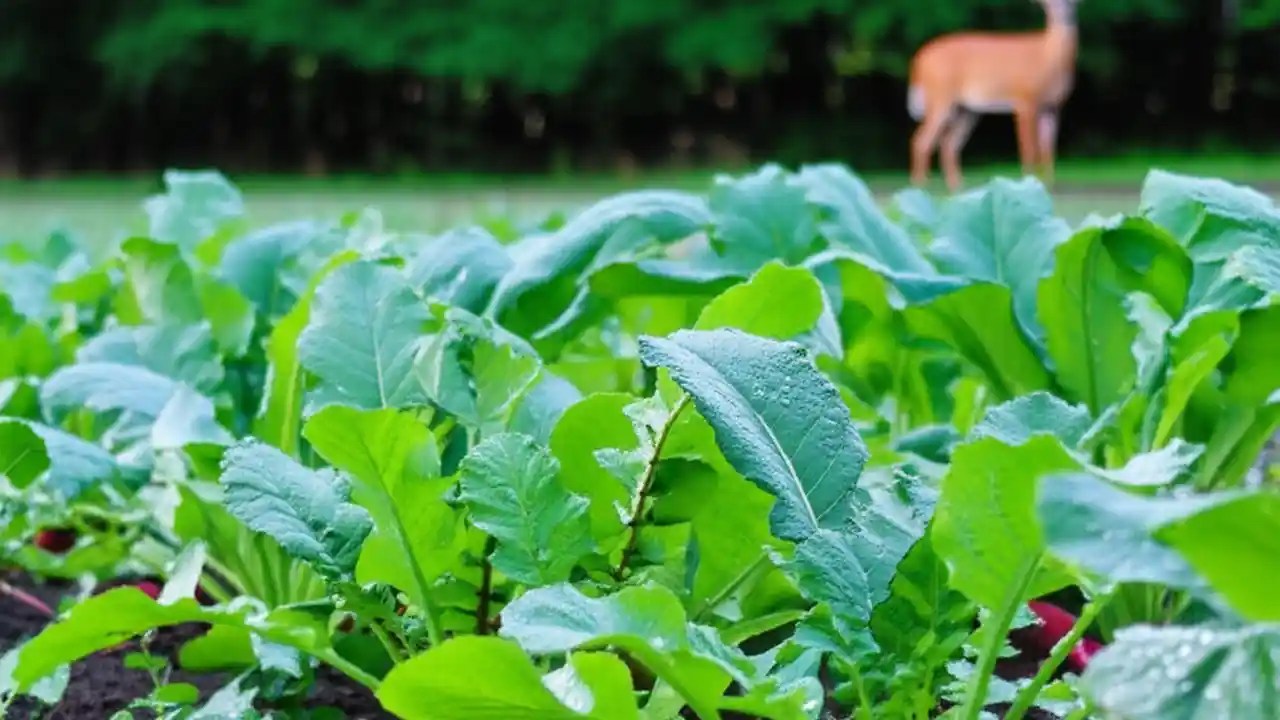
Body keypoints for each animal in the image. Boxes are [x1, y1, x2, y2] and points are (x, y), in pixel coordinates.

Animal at [907, 0, 1080, 192]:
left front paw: (1047, 186)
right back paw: (920, 186)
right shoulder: (1025, 99)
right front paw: (1027, 182)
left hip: (966, 110)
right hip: (940, 97)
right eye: (1050, 6)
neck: (1048, 58)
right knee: (921, 141)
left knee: (948, 144)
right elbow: (1029, 148)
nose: (1065, 15)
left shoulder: (1052, 107)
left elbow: (1048, 149)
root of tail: (919, 61)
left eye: (1073, 2)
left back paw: (957, 186)